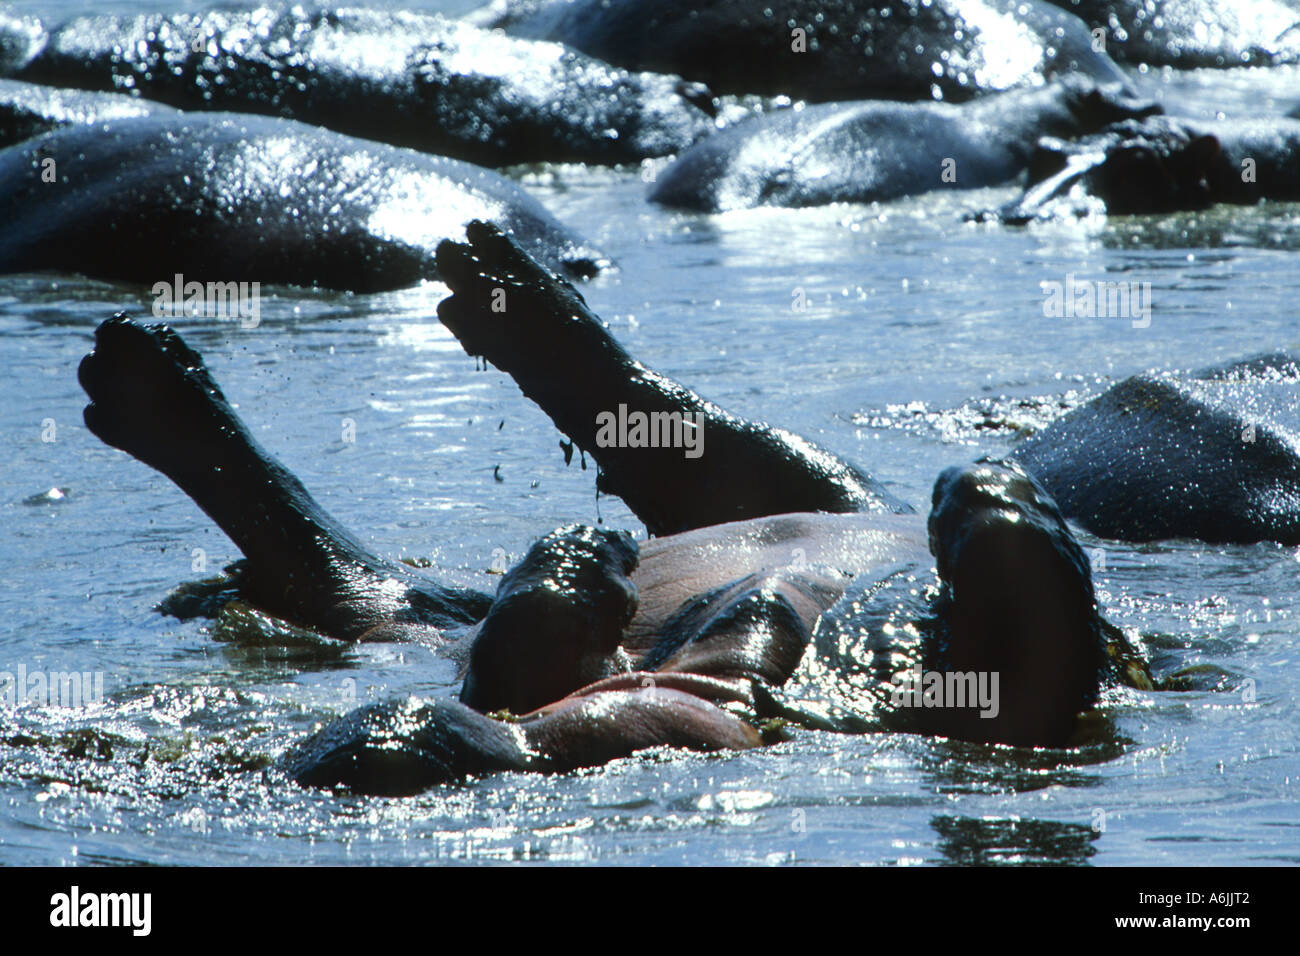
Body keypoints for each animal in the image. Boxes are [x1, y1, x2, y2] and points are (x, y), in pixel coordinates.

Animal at [77, 223, 1167, 795]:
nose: (978, 478)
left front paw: (575, 565)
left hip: (408, 618)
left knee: (347, 579)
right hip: (830, 491)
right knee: (728, 450)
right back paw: (519, 300)